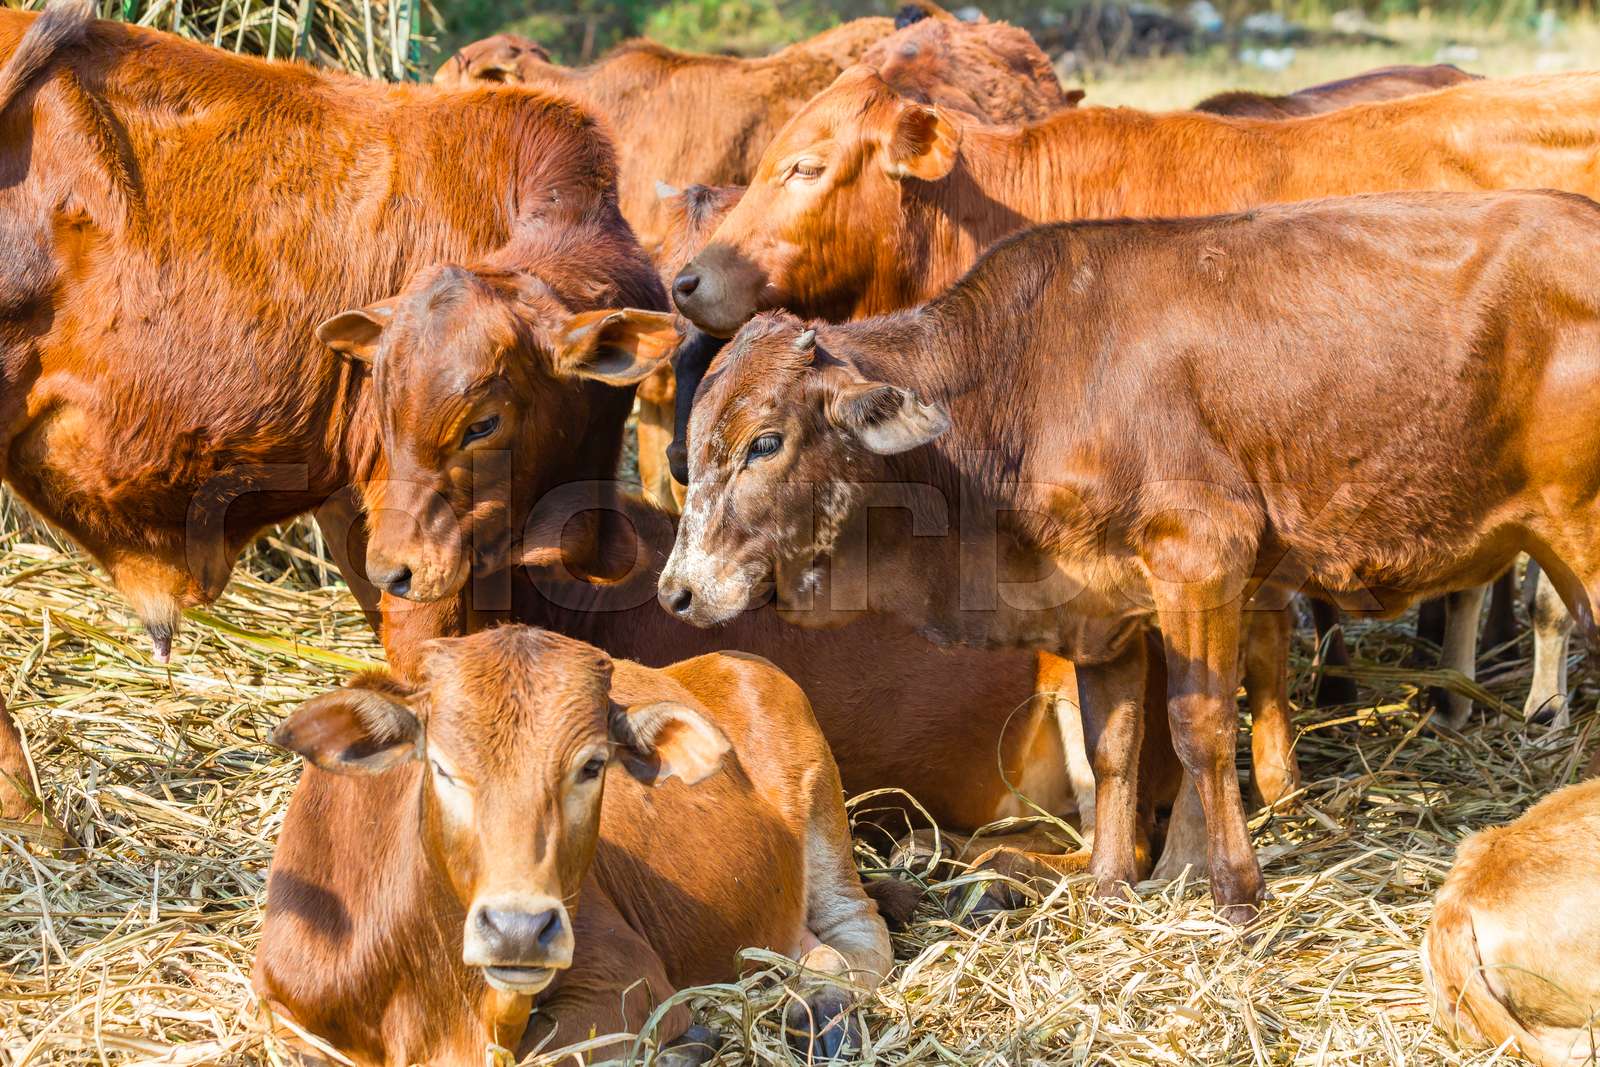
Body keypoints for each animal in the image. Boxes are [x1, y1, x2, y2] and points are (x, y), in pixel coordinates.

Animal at [255, 626, 892, 1065]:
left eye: (592, 766)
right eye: (440, 765)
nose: (517, 929)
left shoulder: (625, 979)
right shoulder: (281, 1013)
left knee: (858, 929)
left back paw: (824, 1010)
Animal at [655, 191, 1600, 922]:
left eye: (765, 442)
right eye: (692, 445)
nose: (677, 590)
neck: (1021, 386)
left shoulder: (1204, 561)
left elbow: (1201, 728)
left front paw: (1235, 890)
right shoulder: (1100, 609)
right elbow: (1114, 745)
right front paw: (1110, 886)